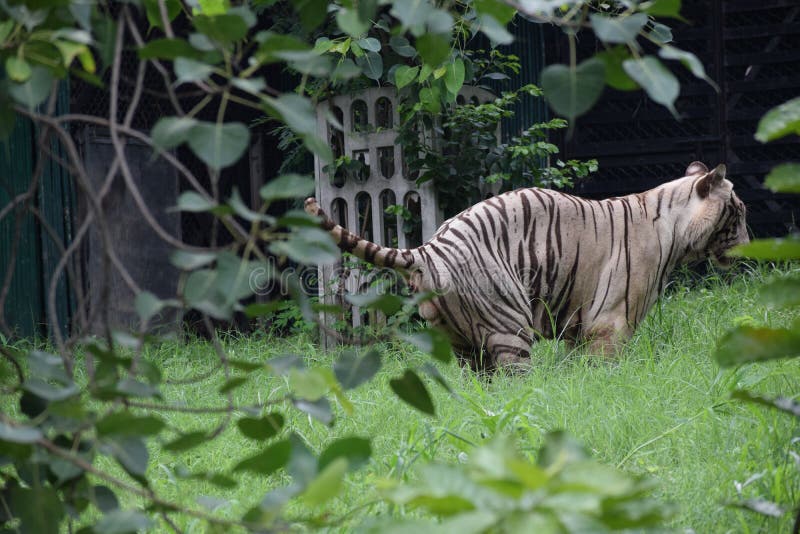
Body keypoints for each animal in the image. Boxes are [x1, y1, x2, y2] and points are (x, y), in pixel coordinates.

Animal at [305, 162, 749, 370]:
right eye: (740, 211)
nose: (749, 246)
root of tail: (431, 247)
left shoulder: (578, 324)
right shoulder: (609, 324)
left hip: (459, 342)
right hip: (510, 329)